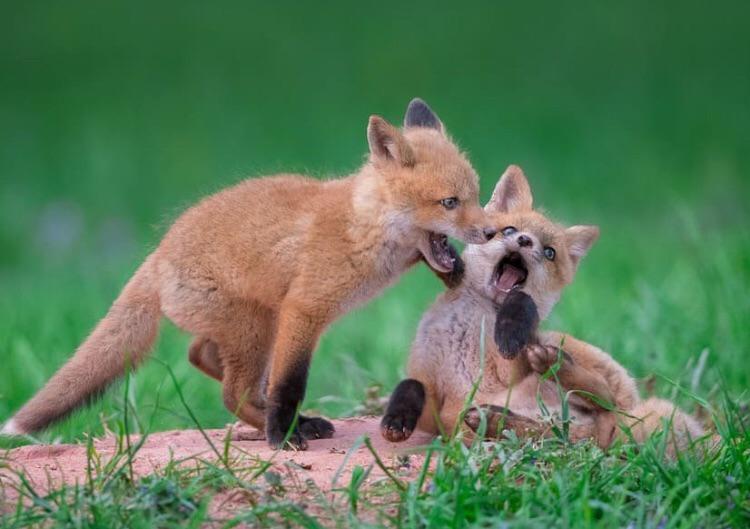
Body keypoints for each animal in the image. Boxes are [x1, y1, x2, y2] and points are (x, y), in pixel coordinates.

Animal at [1, 98, 499, 450]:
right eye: (450, 203)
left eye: (476, 197)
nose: (494, 230)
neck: (366, 229)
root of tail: (158, 254)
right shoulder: (304, 310)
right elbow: (290, 383)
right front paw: (281, 437)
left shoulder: (295, 314)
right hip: (256, 325)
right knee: (232, 393)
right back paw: (285, 427)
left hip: (257, 324)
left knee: (205, 358)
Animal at [381, 165, 704, 456]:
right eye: (509, 230)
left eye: (550, 252)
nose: (524, 241)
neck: (471, 322)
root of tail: (605, 436)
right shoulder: (433, 403)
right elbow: (410, 384)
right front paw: (396, 419)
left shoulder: (508, 370)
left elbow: (521, 303)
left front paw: (512, 327)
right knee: (549, 434)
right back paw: (498, 418)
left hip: (561, 351)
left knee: (604, 397)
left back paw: (555, 367)